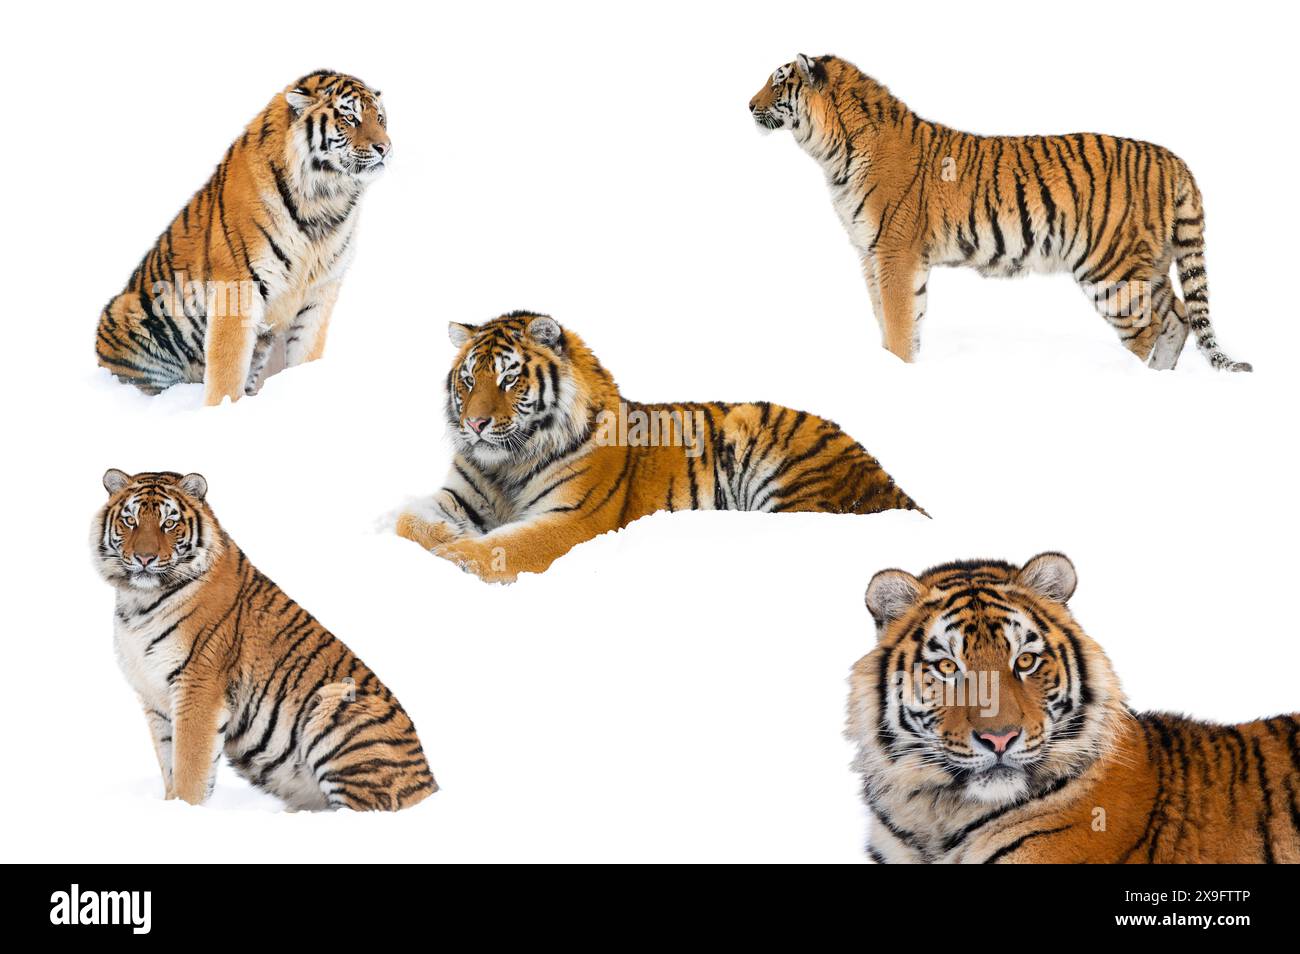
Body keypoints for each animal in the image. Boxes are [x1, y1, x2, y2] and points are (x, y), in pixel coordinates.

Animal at [94, 469, 436, 811]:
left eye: (169, 523)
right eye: (130, 520)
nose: (144, 558)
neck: (138, 602)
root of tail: (431, 786)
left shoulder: (197, 687)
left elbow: (190, 767)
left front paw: (186, 808)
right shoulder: (154, 698)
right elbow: (169, 763)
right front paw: (169, 804)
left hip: (336, 705)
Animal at [95, 71, 389, 405]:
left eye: (380, 118)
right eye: (350, 117)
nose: (385, 147)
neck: (325, 203)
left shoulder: (321, 290)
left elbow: (306, 350)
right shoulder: (238, 285)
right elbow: (227, 365)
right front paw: (221, 408)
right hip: (129, 313)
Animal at [394, 311, 923, 584]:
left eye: (508, 378)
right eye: (468, 380)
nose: (475, 423)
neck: (506, 463)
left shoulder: (570, 521)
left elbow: (496, 550)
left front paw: (452, 554)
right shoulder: (461, 495)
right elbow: (407, 519)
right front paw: (440, 535)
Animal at [749, 54, 1251, 372]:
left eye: (778, 81)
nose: (748, 105)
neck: (833, 150)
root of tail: (1174, 159)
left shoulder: (894, 252)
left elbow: (897, 324)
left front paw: (896, 371)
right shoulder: (871, 255)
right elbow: (897, 323)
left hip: (1112, 270)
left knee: (1148, 331)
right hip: (1151, 266)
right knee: (1179, 319)